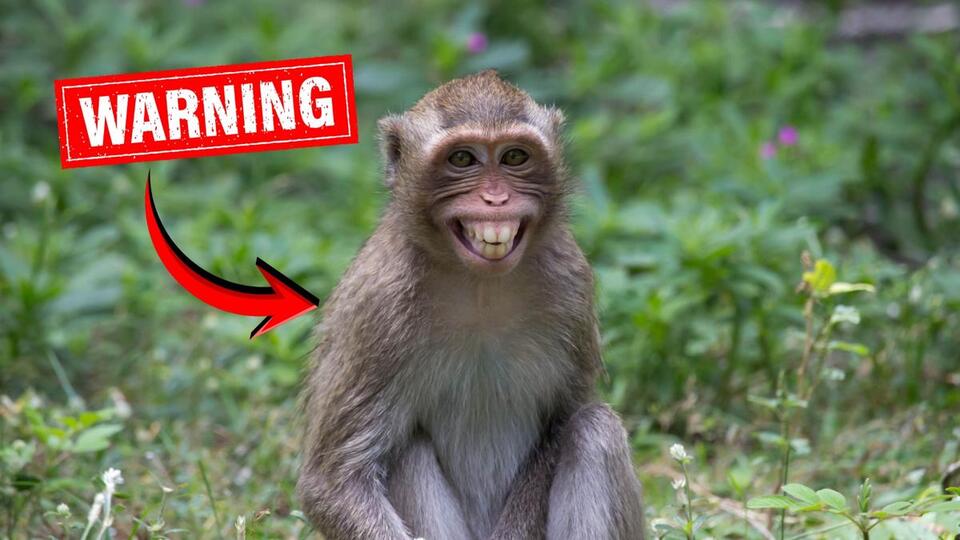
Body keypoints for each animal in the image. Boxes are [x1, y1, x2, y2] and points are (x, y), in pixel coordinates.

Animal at [296, 70, 644, 540]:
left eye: (514, 156)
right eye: (462, 159)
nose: (495, 200)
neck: (480, 288)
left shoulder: (570, 281)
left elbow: (563, 421)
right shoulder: (377, 306)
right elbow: (334, 482)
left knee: (594, 429)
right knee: (406, 451)